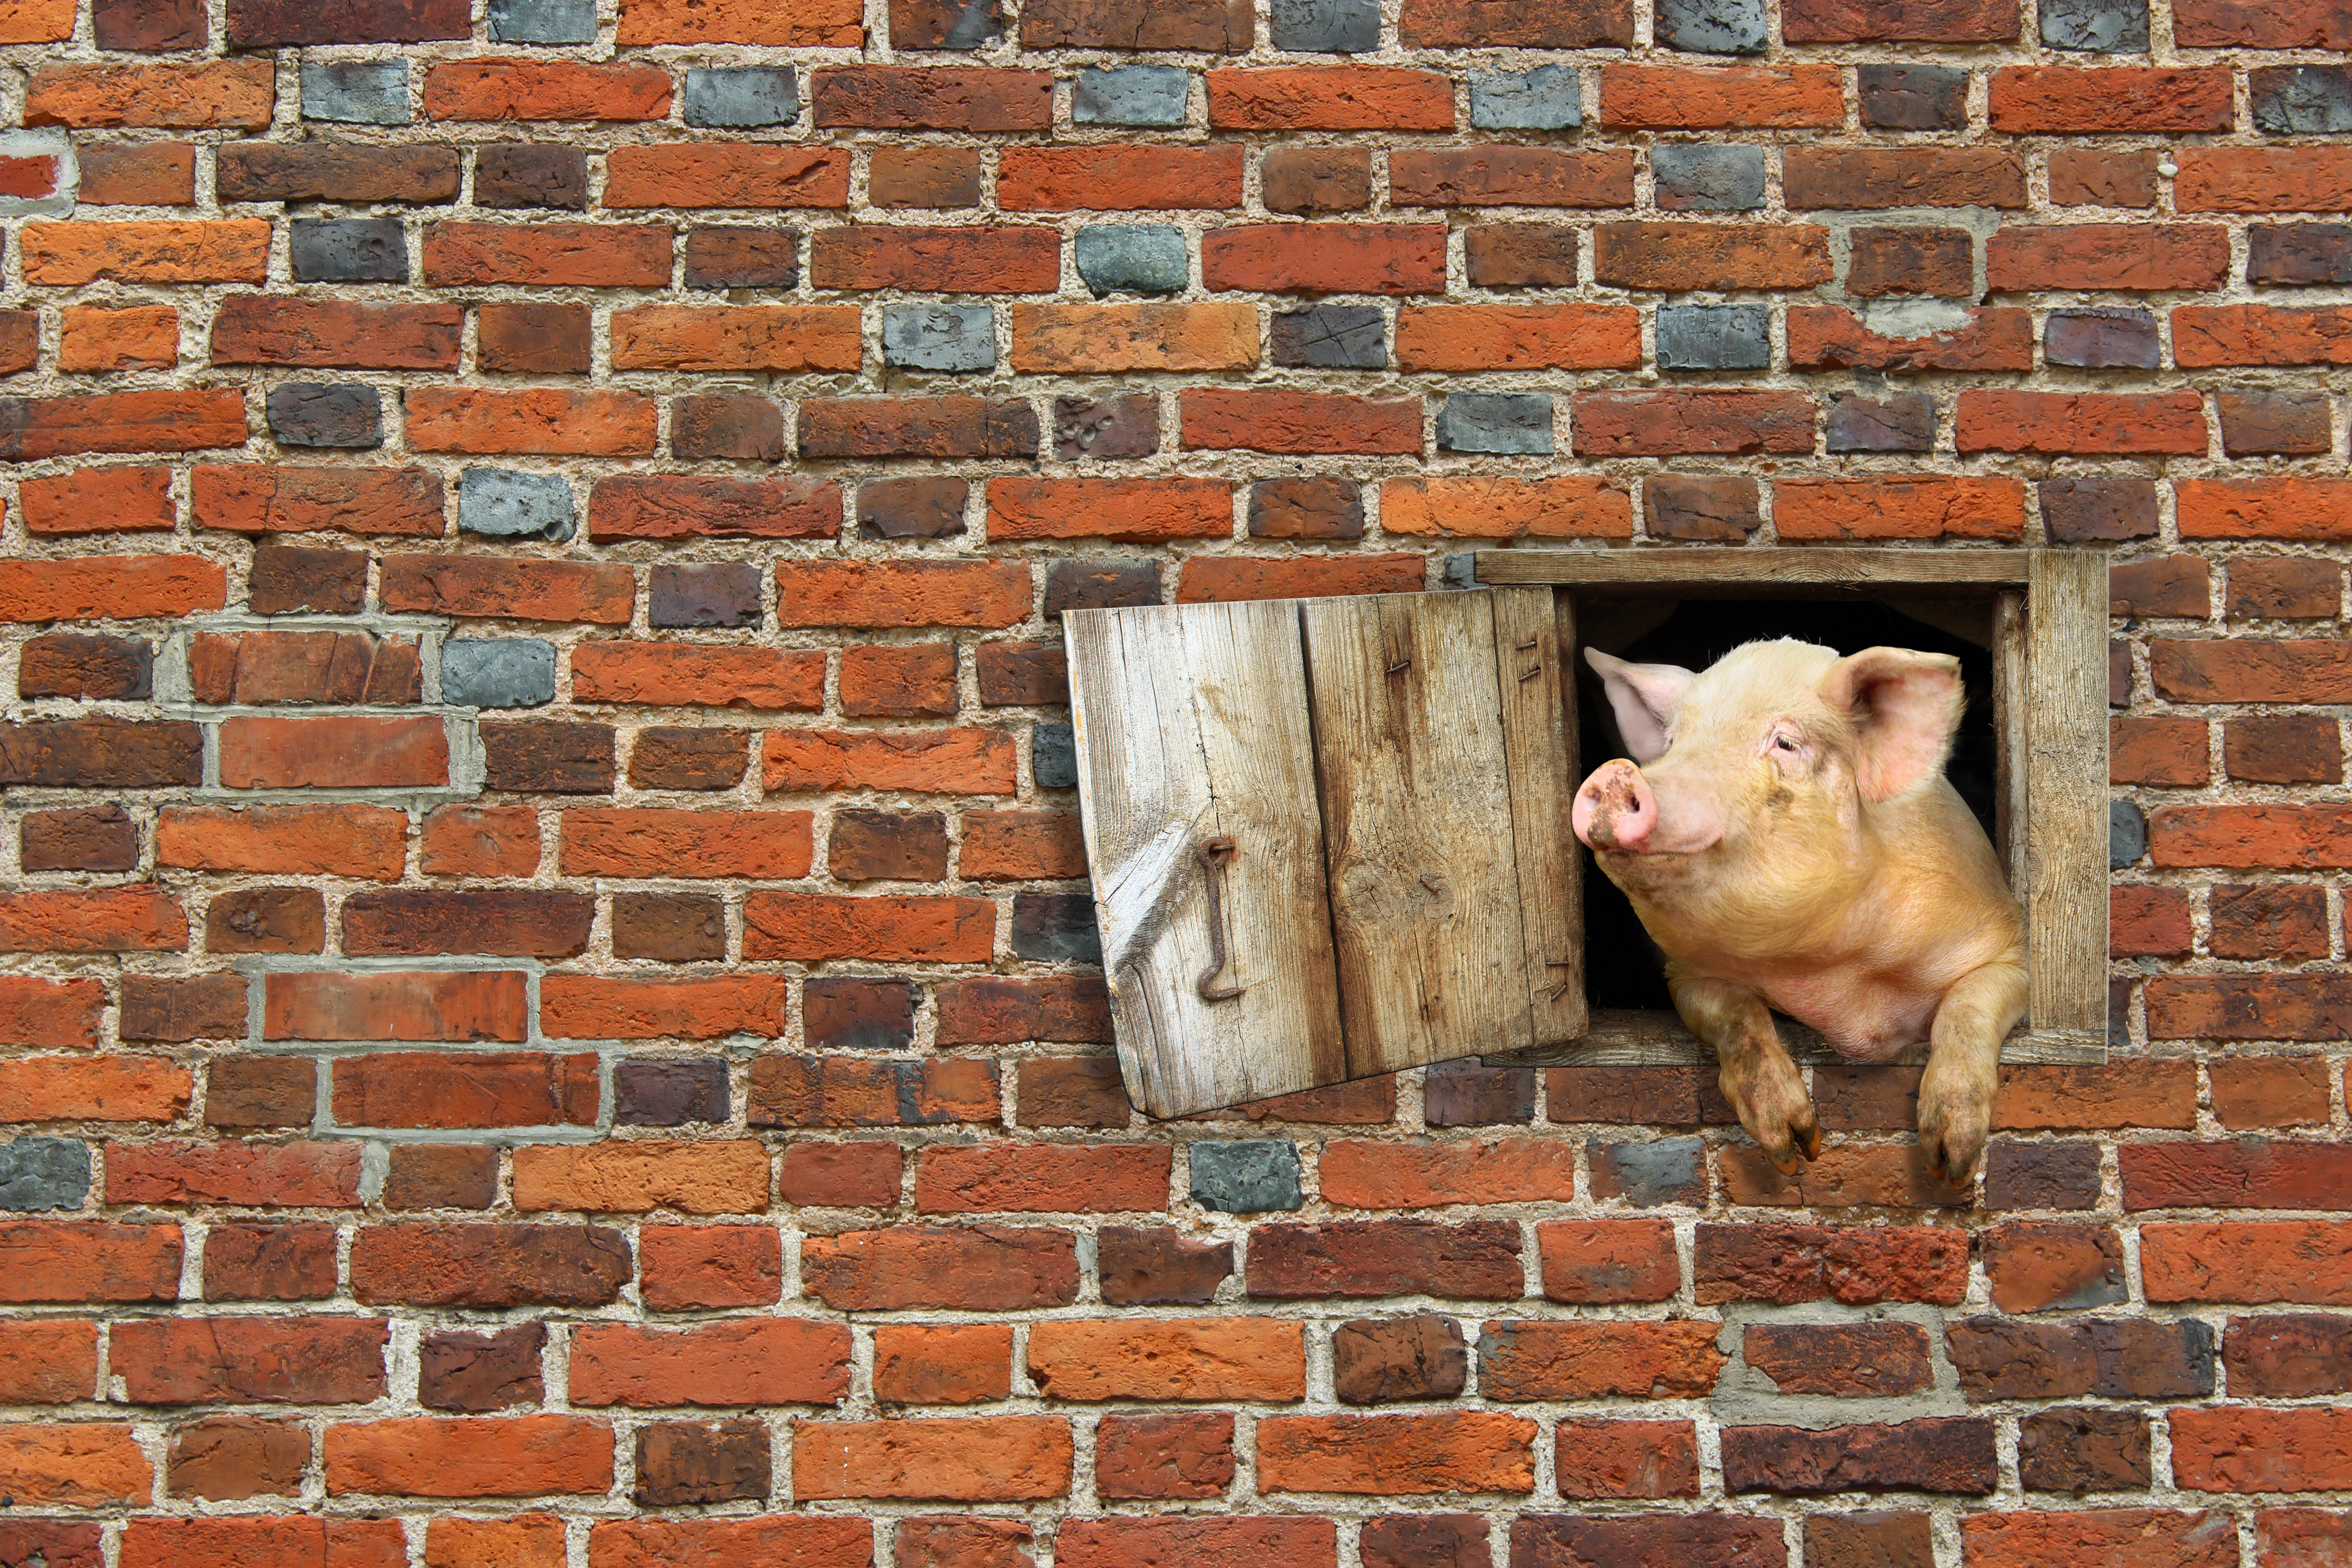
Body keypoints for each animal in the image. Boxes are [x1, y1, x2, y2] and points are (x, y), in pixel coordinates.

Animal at [1572, 638, 2025, 1183]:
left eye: (1786, 744)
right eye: (1674, 741)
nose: (1616, 774)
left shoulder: (2007, 945)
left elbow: (1967, 1008)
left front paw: (1950, 1165)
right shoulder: (1686, 975)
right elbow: (1736, 1015)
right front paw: (1795, 1151)